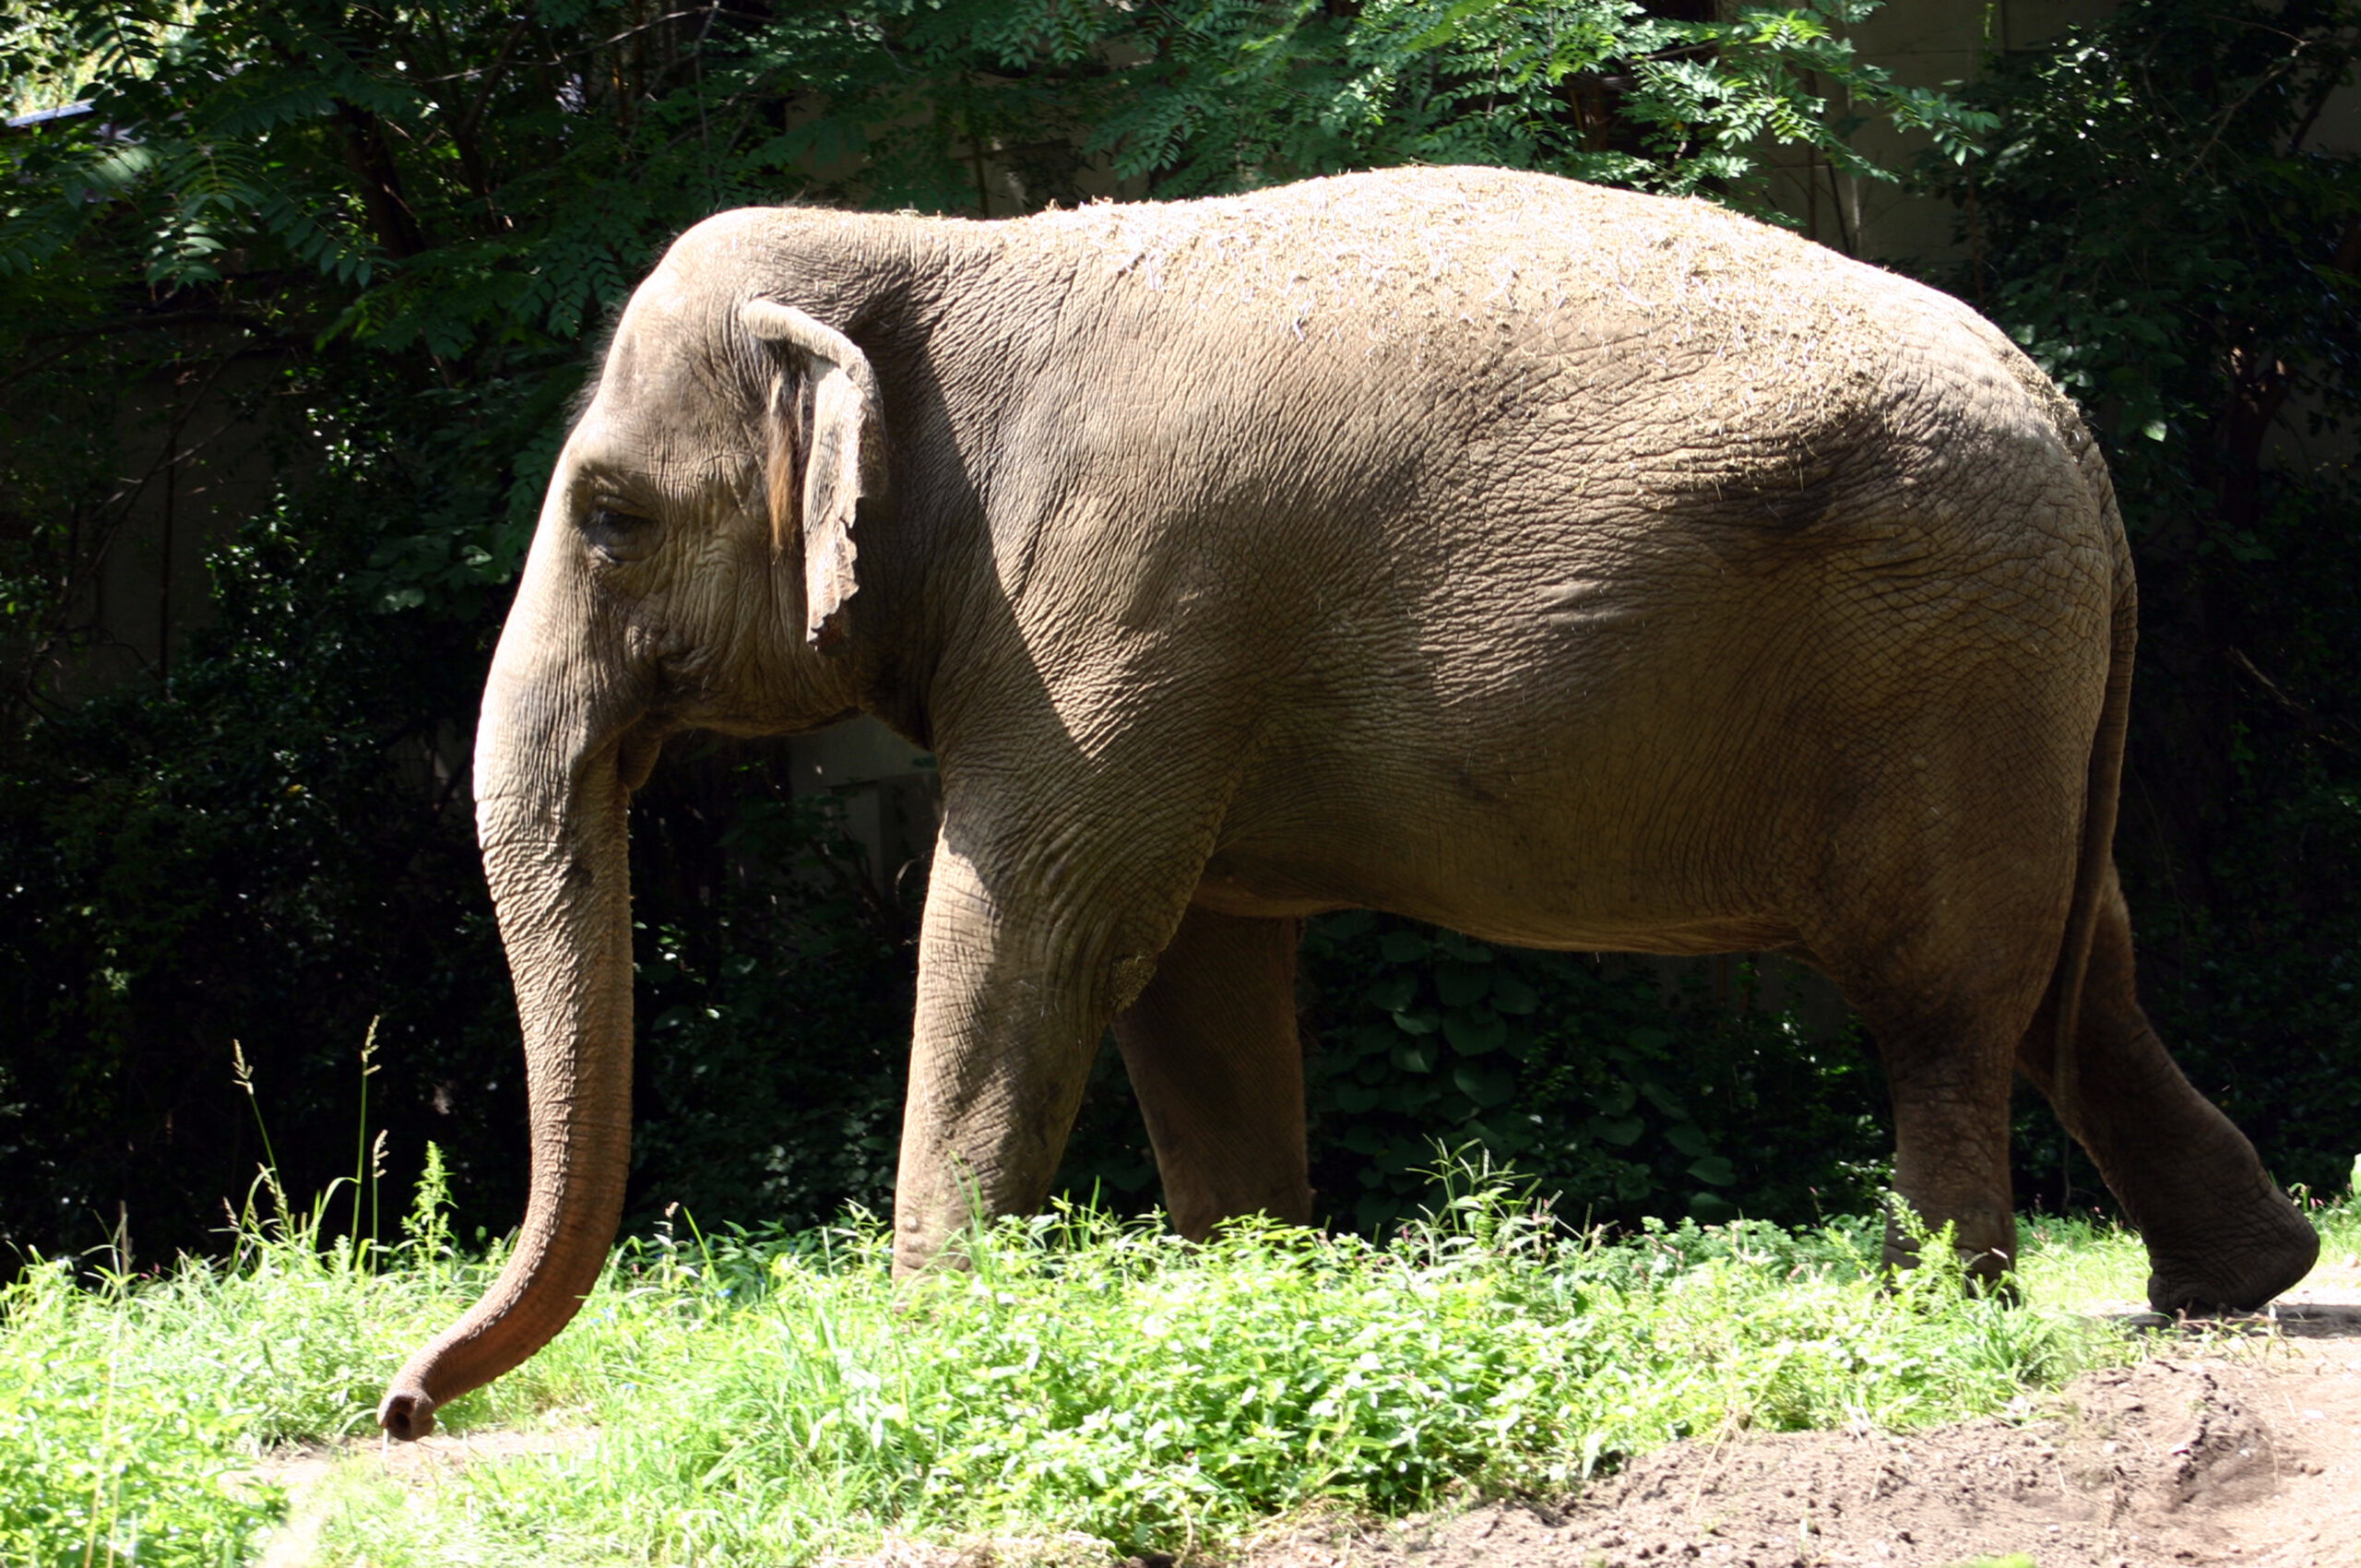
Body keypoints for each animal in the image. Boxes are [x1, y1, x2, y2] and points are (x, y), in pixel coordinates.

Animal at [376, 165, 2319, 1439]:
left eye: (607, 513)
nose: (402, 1410)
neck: (934, 253)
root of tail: (2074, 425)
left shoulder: (1115, 594)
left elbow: (1038, 915)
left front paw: (930, 1341)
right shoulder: (1152, 645)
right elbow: (1191, 966)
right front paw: (1249, 1284)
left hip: (1942, 671)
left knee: (1941, 999)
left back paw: (1932, 1314)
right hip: (2017, 694)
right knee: (2084, 982)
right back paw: (2234, 1281)